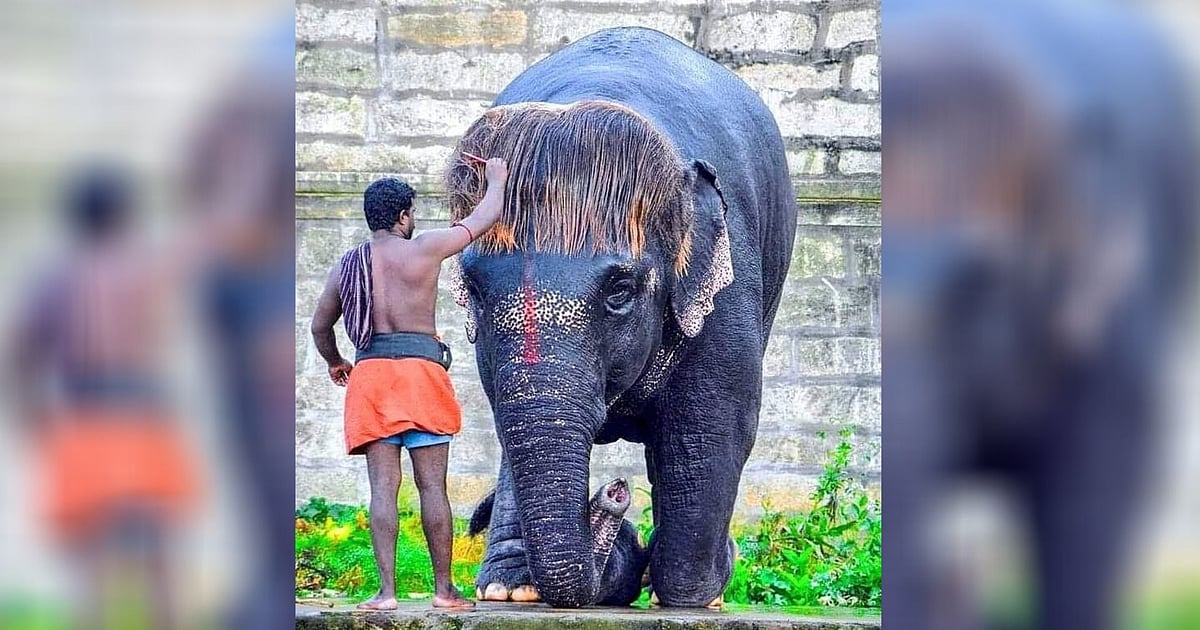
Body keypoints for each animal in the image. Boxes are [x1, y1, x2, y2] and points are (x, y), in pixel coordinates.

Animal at [442, 27, 797, 607]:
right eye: (473, 288)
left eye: (621, 291)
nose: (612, 491)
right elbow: (506, 418)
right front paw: (509, 592)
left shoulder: (729, 283)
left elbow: (711, 425)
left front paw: (691, 594)